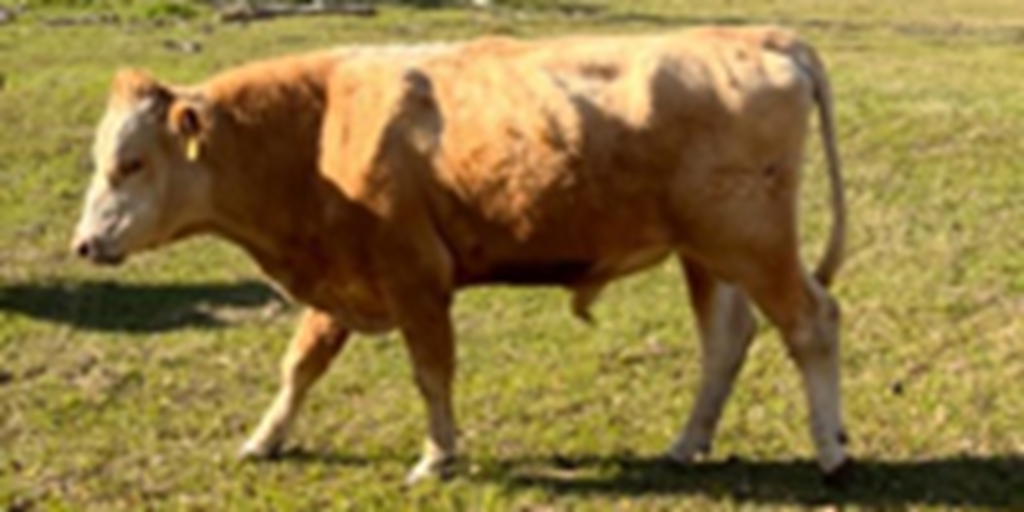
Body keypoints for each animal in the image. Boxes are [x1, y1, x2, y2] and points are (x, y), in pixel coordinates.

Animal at [70, 26, 849, 484]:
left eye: (132, 163)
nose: (84, 242)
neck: (318, 130)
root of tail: (759, 36)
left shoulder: (413, 276)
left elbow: (431, 370)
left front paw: (436, 456)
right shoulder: (345, 276)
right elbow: (302, 363)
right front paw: (264, 439)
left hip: (752, 243)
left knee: (811, 322)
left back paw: (831, 450)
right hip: (708, 253)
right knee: (726, 339)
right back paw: (688, 443)